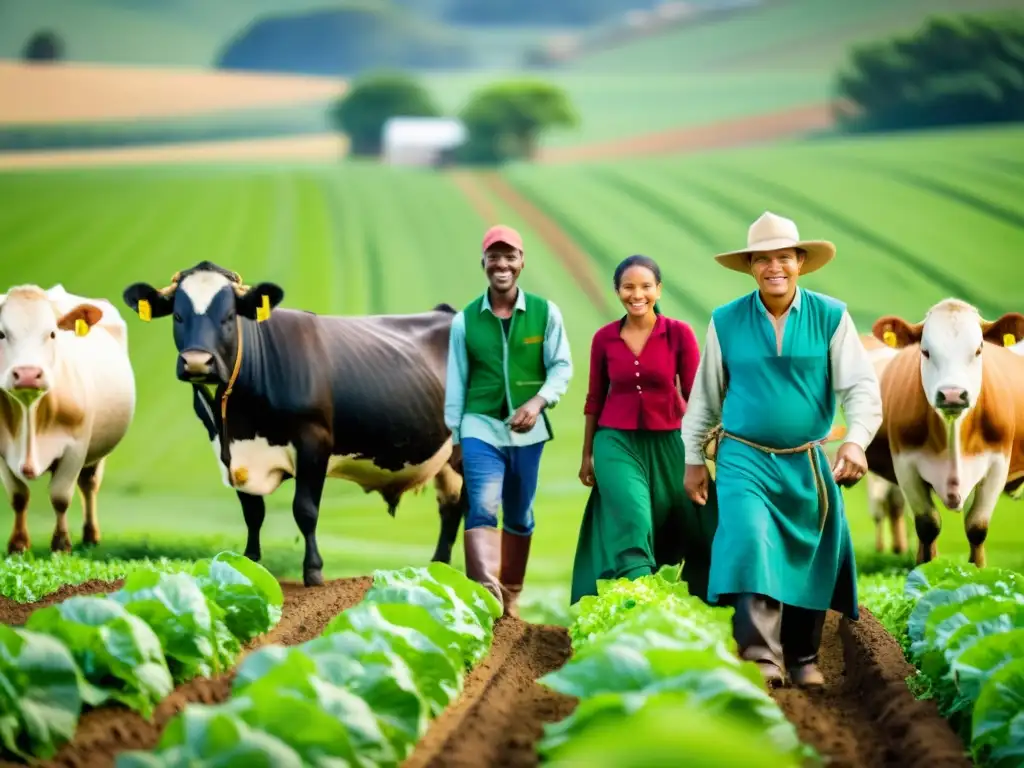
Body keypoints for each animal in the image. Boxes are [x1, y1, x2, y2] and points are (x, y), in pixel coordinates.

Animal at [0, 282, 136, 552]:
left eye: (52, 334)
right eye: (0, 334)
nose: (28, 374)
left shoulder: (76, 447)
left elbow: (60, 496)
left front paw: (61, 544)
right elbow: (18, 496)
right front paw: (18, 545)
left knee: (89, 484)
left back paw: (91, 536)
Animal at [120, 262, 468, 585]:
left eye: (229, 316)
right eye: (178, 316)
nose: (196, 362)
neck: (241, 419)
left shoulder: (315, 440)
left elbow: (305, 509)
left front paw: (313, 571)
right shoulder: (228, 449)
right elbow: (253, 513)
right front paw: (249, 563)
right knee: (450, 508)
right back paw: (439, 568)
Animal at [864, 296, 1024, 569]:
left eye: (979, 349)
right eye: (925, 351)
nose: (952, 394)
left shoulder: (997, 464)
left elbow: (977, 527)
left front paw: (977, 571)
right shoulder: (905, 466)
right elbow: (928, 525)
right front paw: (925, 569)